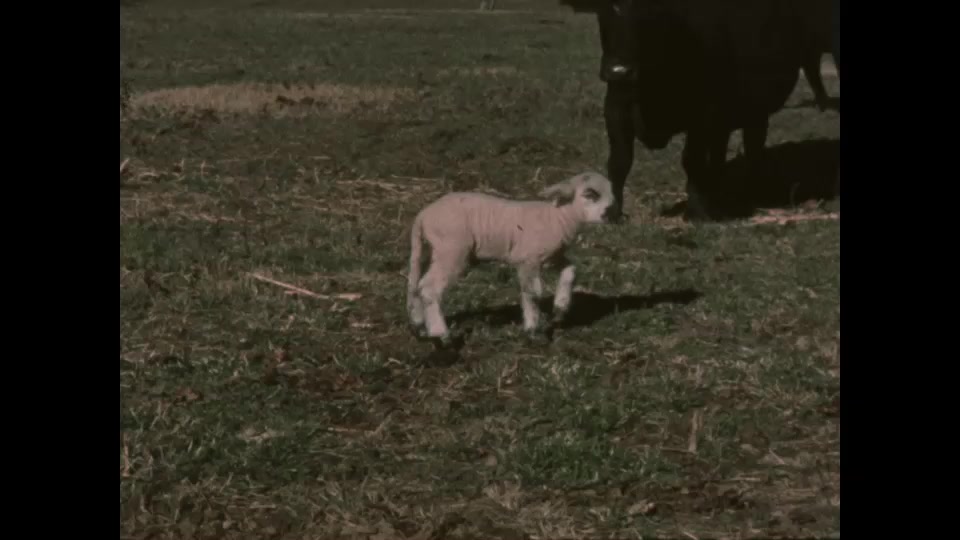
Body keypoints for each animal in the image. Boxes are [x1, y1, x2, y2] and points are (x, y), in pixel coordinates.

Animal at [405, 171, 617, 343]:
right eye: (590, 194)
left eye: (612, 194)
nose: (612, 213)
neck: (558, 218)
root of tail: (423, 216)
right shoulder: (528, 259)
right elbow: (532, 293)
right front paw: (532, 329)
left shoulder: (551, 257)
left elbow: (571, 270)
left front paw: (560, 306)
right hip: (451, 250)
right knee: (429, 287)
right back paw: (440, 333)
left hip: (431, 250)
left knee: (416, 284)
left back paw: (420, 325)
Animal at [559, 0, 839, 221]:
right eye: (603, 8)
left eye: (648, 9)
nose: (620, 70)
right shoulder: (616, 107)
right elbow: (619, 162)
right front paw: (613, 212)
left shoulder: (703, 115)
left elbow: (690, 160)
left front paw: (696, 212)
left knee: (753, 146)